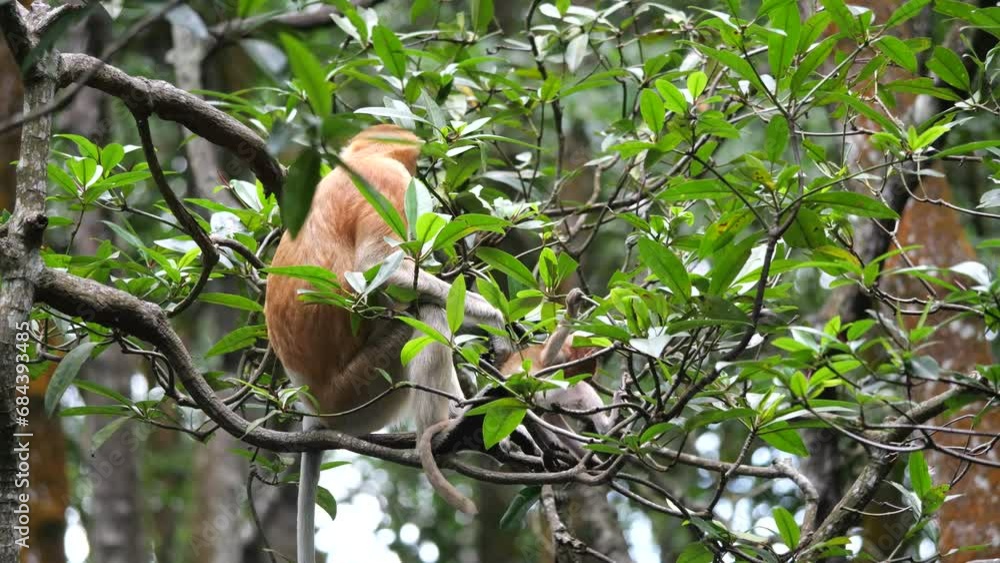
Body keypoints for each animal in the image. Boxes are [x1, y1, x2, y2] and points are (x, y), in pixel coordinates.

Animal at [264, 124, 513, 563]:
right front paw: (498, 321)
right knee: (426, 315)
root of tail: (312, 404)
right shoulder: (387, 182)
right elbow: (379, 267)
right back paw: (443, 433)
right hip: (361, 390)